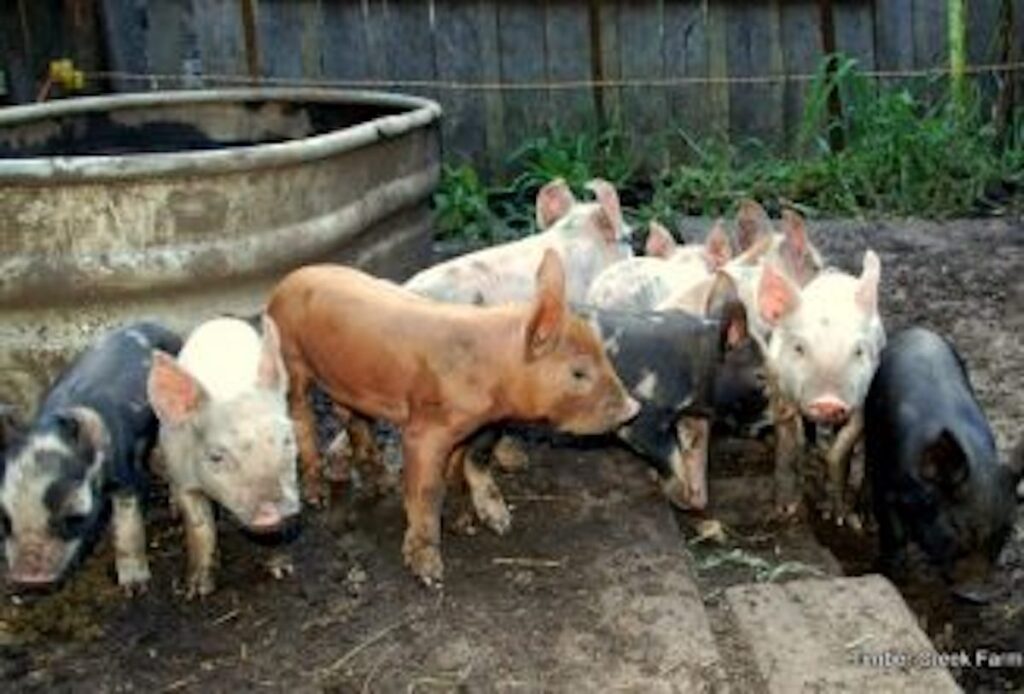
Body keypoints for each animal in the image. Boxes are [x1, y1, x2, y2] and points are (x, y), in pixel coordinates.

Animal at [0, 322, 181, 594]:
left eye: (74, 518)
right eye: (5, 520)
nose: (28, 579)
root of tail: (158, 323)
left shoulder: (122, 475)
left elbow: (128, 529)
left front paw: (135, 588)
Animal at [147, 316, 300, 598]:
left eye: (287, 439)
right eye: (216, 456)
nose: (273, 511)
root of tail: (220, 319)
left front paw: (282, 570)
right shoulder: (183, 475)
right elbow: (199, 527)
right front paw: (196, 592)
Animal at [268, 250, 639, 586]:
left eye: (605, 356)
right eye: (578, 373)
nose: (633, 409)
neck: (494, 373)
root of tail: (288, 280)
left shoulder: (470, 427)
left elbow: (464, 466)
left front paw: (479, 524)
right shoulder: (423, 431)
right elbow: (428, 490)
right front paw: (429, 573)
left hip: (347, 379)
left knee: (351, 416)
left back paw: (382, 482)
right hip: (290, 360)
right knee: (300, 418)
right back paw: (317, 496)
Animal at [757, 250, 885, 520]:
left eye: (858, 351)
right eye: (799, 348)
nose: (829, 402)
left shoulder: (862, 398)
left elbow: (841, 449)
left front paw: (838, 517)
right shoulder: (778, 389)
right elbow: (788, 445)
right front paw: (785, 510)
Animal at [865, 328, 1021, 600]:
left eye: (1006, 531)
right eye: (956, 526)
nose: (978, 595)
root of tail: (918, 330)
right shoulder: (886, 484)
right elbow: (894, 533)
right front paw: (895, 577)